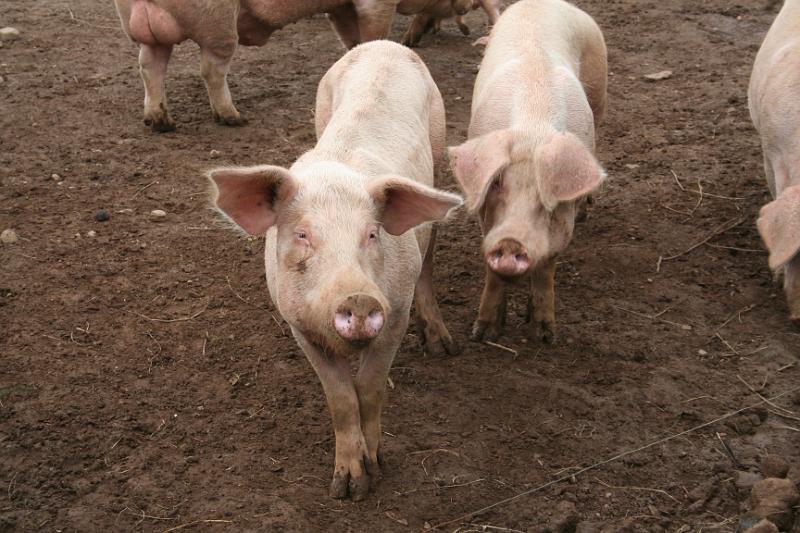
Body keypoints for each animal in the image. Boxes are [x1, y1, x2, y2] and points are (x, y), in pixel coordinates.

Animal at [113, 0, 402, 132]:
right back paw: (234, 118)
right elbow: (374, 33)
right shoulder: (376, 4)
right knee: (211, 70)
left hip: (148, 33)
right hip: (218, 26)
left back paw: (161, 122)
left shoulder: (341, 7)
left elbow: (351, 40)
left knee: (149, 66)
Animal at [208, 41, 462, 500]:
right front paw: (346, 488)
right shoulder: (298, 325)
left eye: (372, 234)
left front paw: (375, 471)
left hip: (438, 143)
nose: (358, 297)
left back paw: (442, 346)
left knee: (429, 263)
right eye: (302, 234)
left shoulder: (395, 313)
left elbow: (370, 390)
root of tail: (384, 44)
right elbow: (341, 398)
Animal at [448, 0, 607, 344]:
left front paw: (545, 335)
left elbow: (547, 269)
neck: (533, 130)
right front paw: (483, 332)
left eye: (549, 201)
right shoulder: (486, 219)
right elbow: (493, 274)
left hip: (599, 90)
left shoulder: (561, 227)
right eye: (496, 185)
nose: (511, 243)